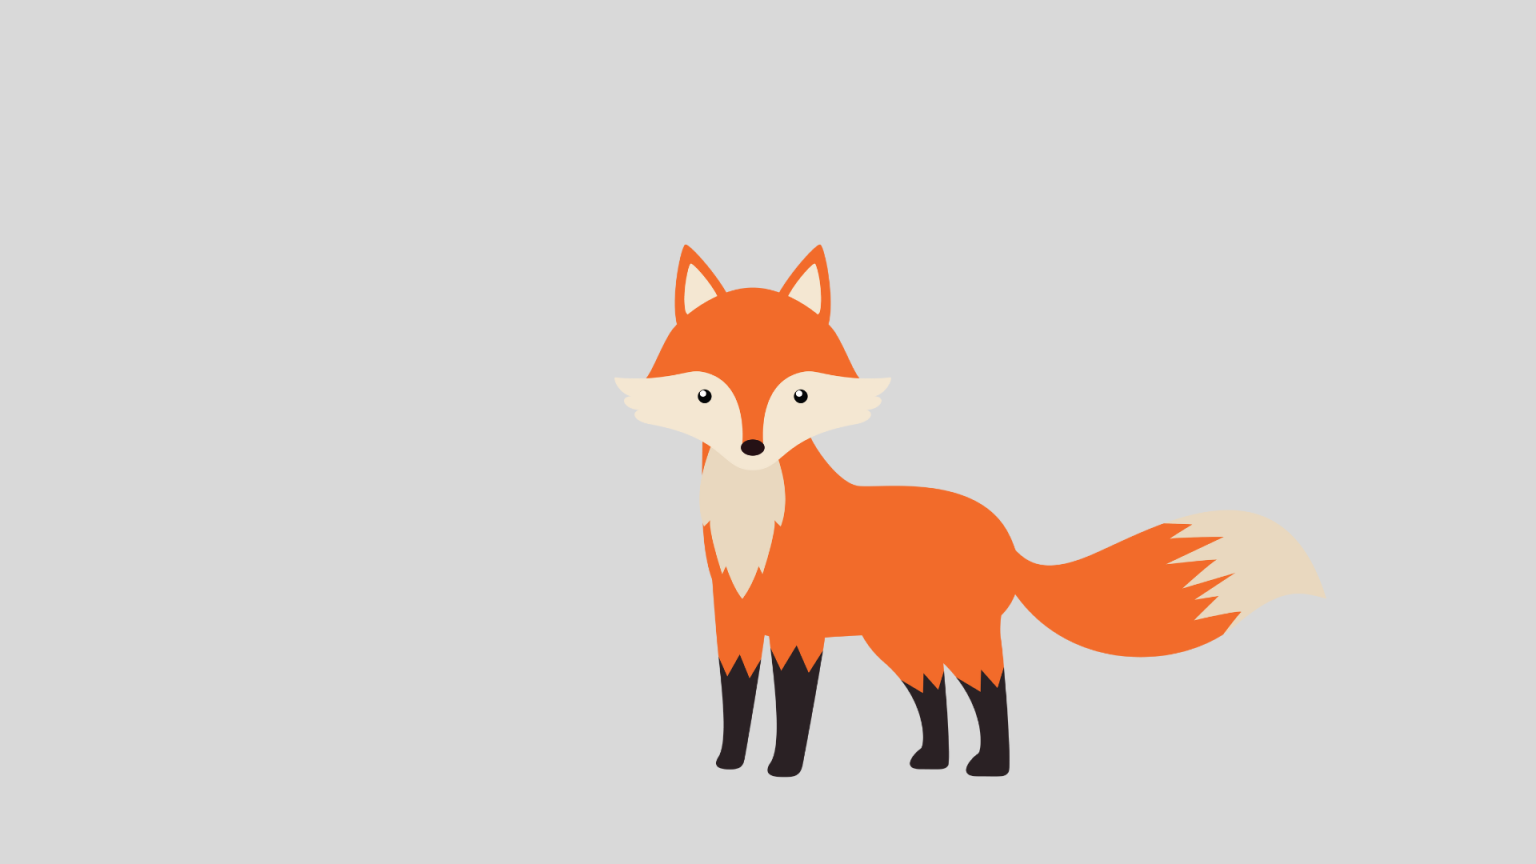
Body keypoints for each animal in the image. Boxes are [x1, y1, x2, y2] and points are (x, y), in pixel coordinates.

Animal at [615, 245, 1324, 777]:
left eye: (799, 394)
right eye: (707, 393)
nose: (753, 447)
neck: (753, 531)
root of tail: (1005, 537)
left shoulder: (798, 629)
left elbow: (793, 709)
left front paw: (783, 769)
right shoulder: (732, 621)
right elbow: (735, 702)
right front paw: (728, 764)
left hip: (959, 636)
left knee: (991, 692)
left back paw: (990, 766)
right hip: (901, 643)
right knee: (934, 696)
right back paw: (933, 760)